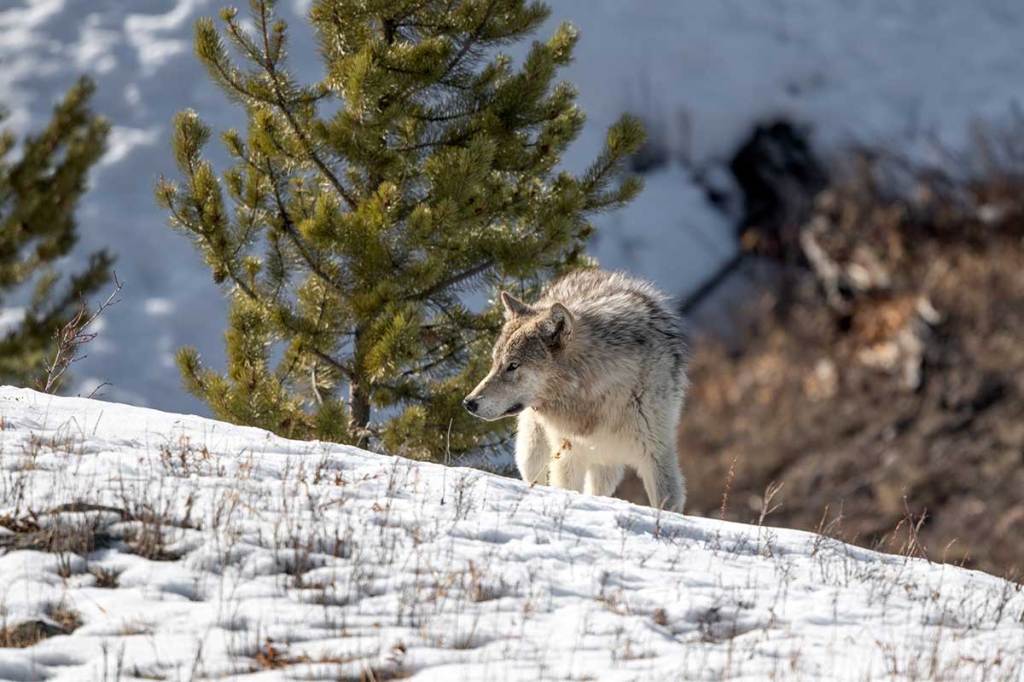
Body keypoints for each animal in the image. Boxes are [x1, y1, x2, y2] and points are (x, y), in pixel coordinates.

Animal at [464, 269, 688, 512]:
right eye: (494, 363)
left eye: (513, 365)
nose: (468, 402)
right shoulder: (569, 456)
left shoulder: (657, 454)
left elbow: (666, 505)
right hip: (534, 454)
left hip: (606, 464)